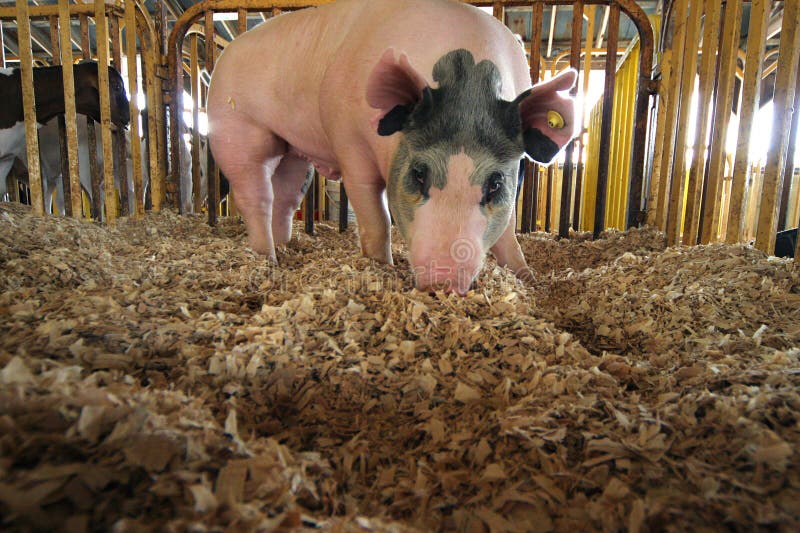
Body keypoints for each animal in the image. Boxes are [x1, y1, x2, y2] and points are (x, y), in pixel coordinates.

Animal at [207, 0, 577, 294]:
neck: (467, 91)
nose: (443, 281)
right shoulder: (348, 141)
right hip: (234, 126)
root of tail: (227, 52)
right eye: (418, 174)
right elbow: (376, 217)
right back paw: (267, 258)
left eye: (496, 183)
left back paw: (285, 248)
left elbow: (509, 229)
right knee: (255, 195)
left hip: (292, 149)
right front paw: (380, 267)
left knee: (286, 196)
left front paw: (527, 278)